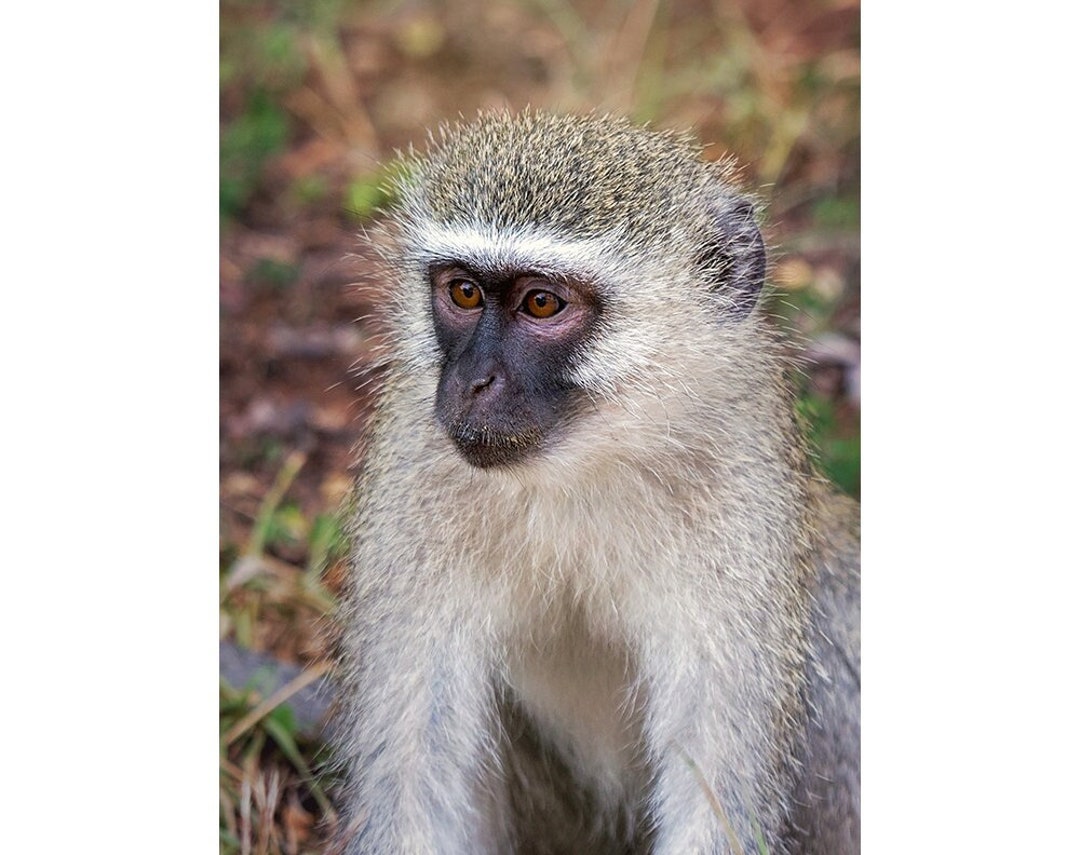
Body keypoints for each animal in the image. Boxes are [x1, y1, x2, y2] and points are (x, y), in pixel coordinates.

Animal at [332, 110, 860, 854]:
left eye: (541, 304)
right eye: (463, 291)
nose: (471, 383)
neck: (581, 468)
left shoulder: (746, 496)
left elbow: (717, 795)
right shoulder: (410, 470)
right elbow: (414, 784)